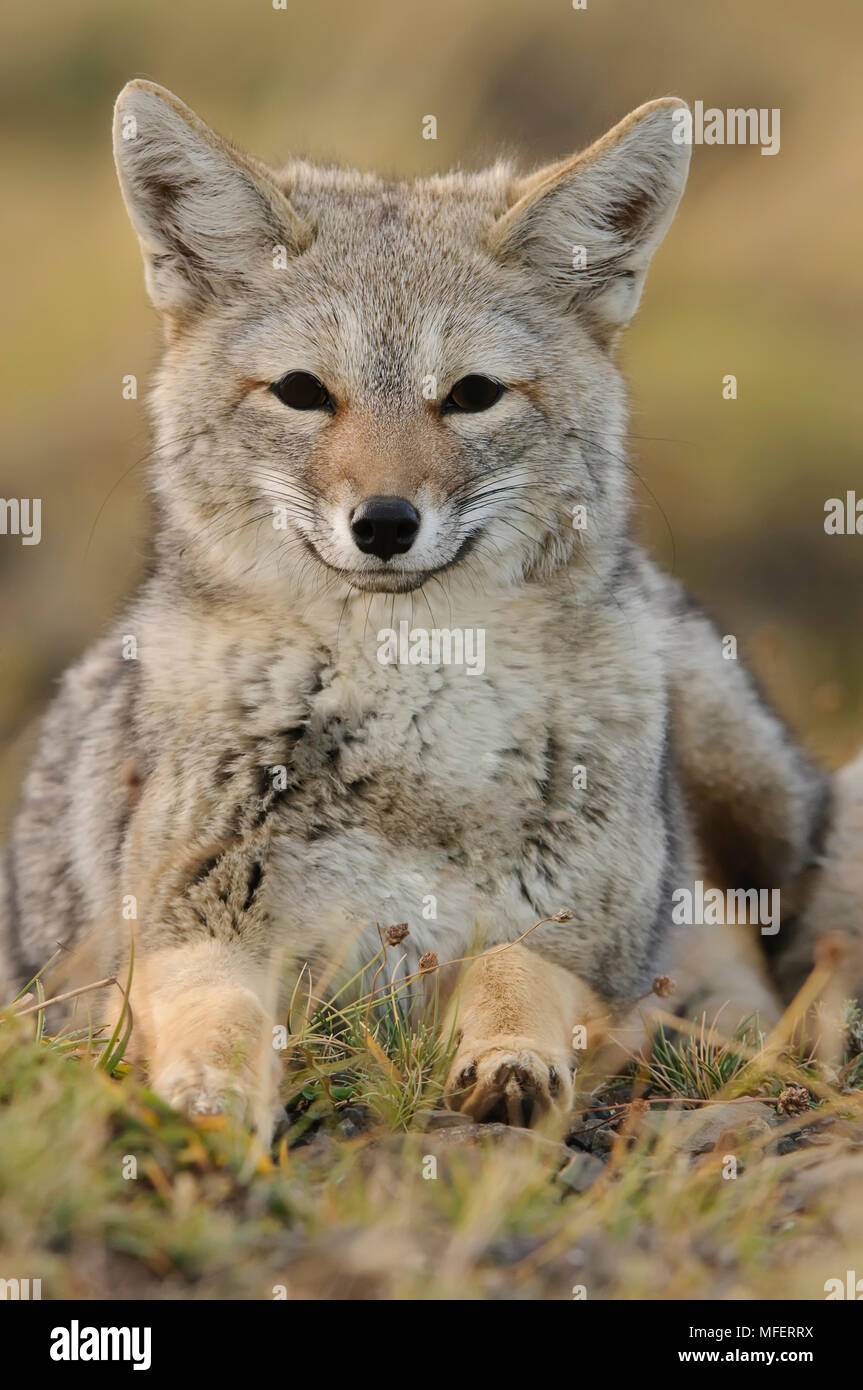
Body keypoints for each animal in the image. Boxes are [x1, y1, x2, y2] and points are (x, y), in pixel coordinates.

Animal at [0, 81, 855, 1133]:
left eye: (472, 395)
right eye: (302, 392)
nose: (384, 522)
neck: (411, 721)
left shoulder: (583, 943)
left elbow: (512, 971)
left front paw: (510, 1058)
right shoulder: (182, 931)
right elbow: (219, 1022)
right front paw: (209, 1097)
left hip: (753, 794)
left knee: (786, 936)